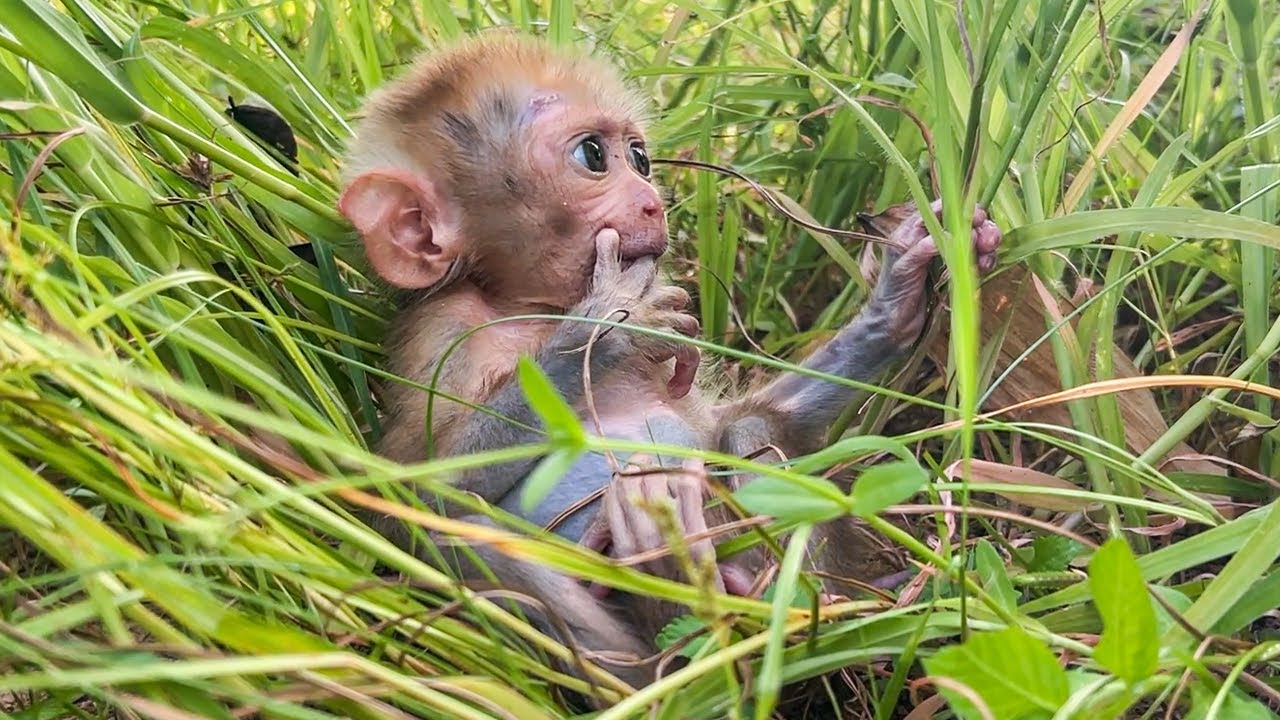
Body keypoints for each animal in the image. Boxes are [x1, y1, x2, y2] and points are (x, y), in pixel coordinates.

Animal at [335, 34, 1002, 689]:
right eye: (592, 157)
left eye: (639, 157)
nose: (652, 202)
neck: (528, 306)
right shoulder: (440, 334)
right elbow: (417, 495)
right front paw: (605, 326)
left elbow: (731, 417)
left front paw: (896, 296)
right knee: (474, 540)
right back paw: (675, 621)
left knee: (749, 430)